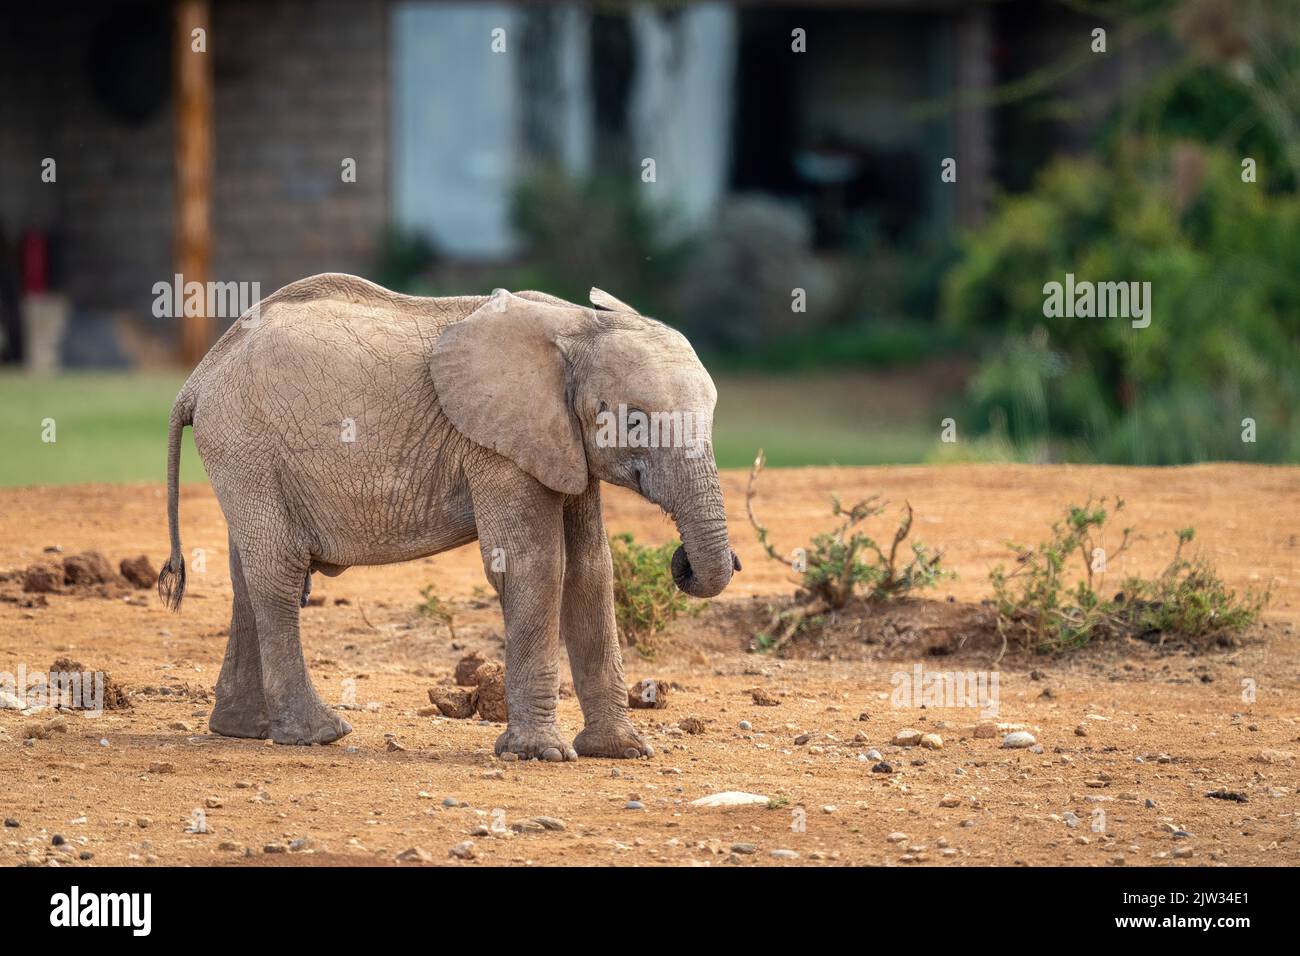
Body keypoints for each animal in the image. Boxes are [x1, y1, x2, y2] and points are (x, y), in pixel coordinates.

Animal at [158, 273, 739, 758]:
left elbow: (591, 572)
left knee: (246, 575)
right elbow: (532, 567)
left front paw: (621, 751)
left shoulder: (563, 445)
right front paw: (540, 755)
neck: (576, 327)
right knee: (279, 572)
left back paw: (243, 730)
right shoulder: (496, 447)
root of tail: (198, 378)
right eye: (634, 422)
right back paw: (319, 734)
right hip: (244, 444)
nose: (686, 560)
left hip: (244, 456)